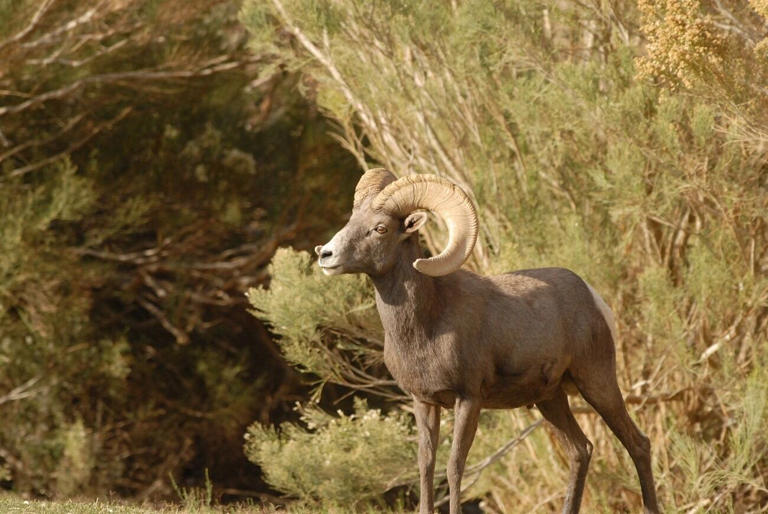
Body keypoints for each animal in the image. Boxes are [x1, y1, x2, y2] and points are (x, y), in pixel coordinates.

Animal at [315, 168, 660, 514]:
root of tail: (594, 299)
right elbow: (426, 466)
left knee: (638, 444)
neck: (426, 324)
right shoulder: (424, 402)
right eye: (352, 219)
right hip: (551, 398)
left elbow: (455, 467)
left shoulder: (469, 399)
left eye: (381, 228)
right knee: (580, 450)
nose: (325, 254)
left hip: (596, 382)